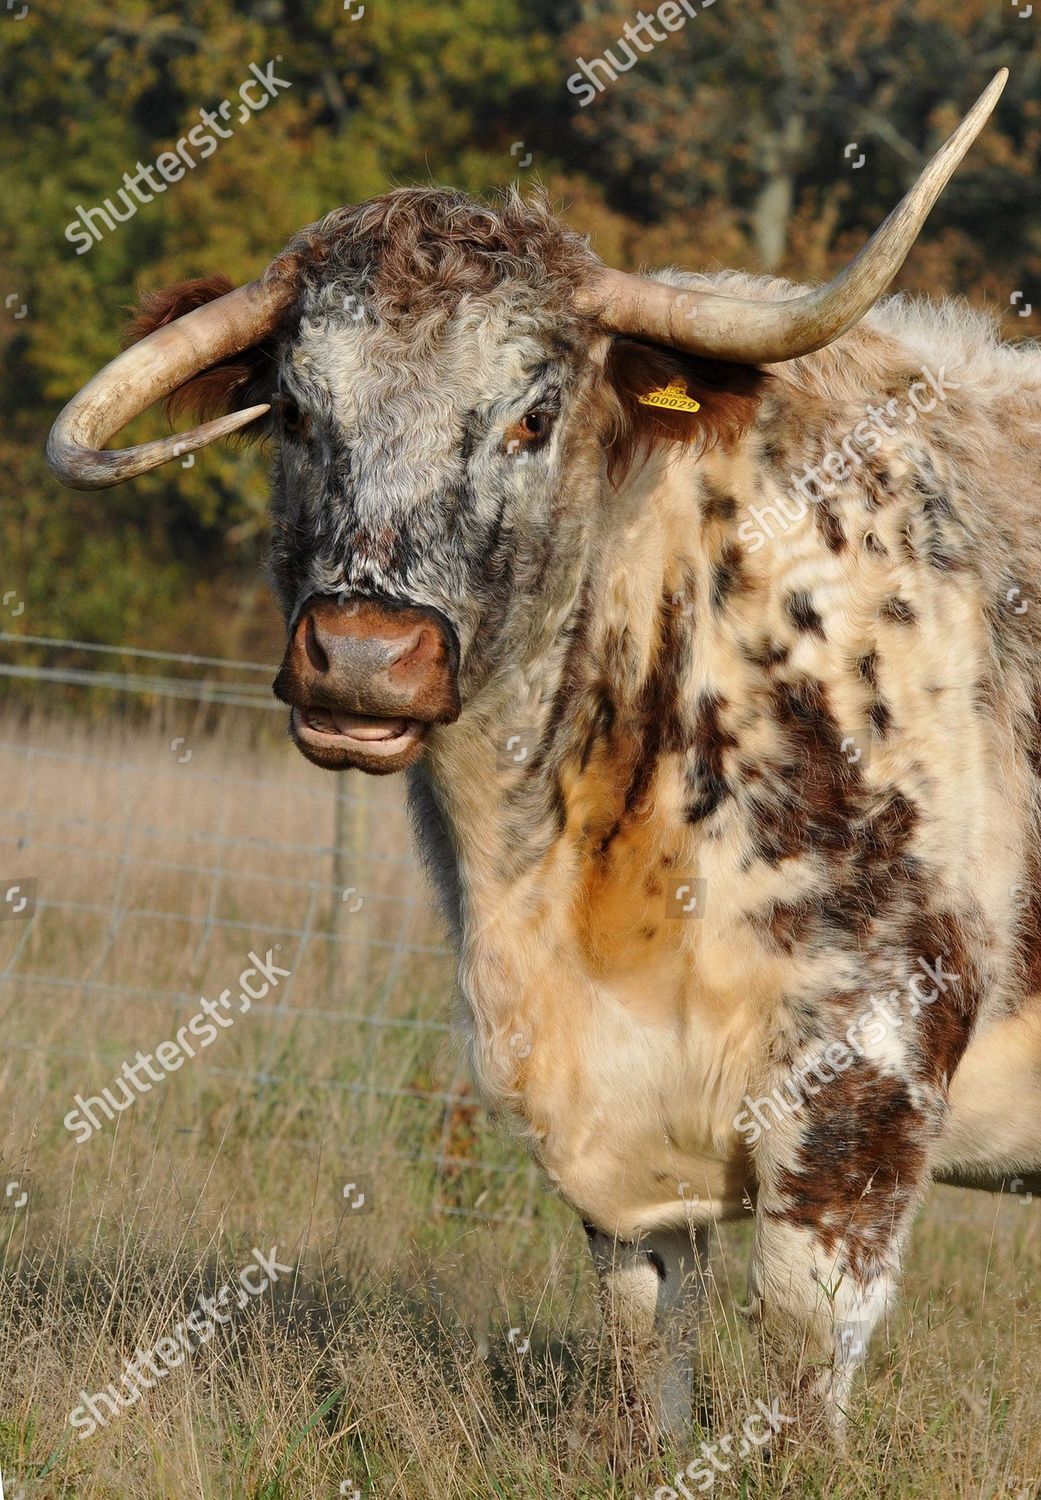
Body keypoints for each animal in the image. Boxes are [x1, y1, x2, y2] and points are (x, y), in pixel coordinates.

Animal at [48, 69, 1041, 1448]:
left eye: (533, 413)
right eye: (295, 410)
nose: (364, 655)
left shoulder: (866, 1081)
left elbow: (797, 1364)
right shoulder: (619, 1151)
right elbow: (641, 1361)